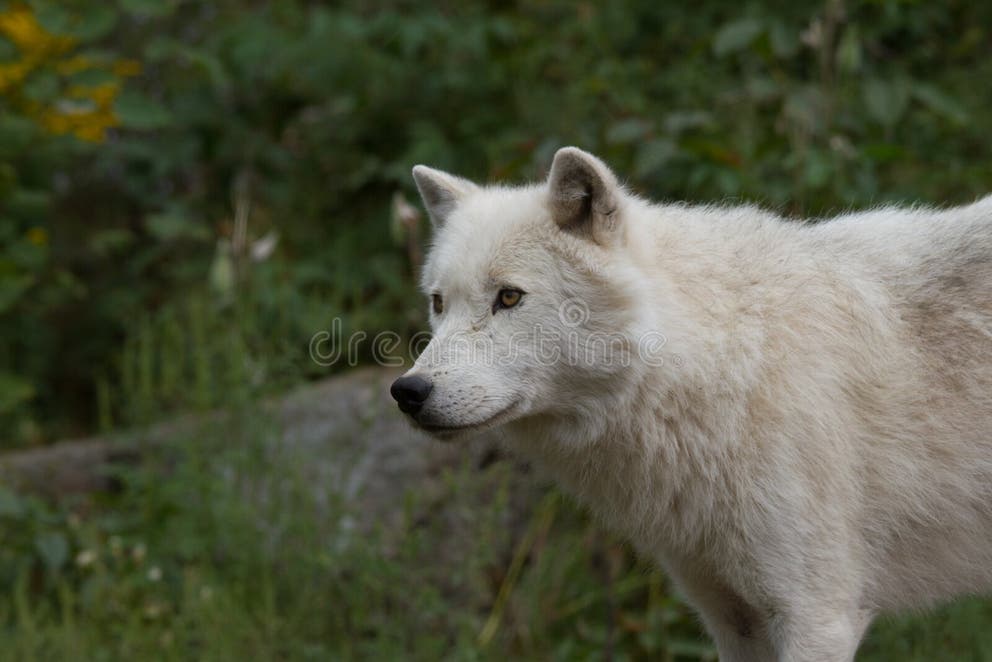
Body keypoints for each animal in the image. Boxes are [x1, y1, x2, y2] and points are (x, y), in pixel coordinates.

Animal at [390, 147, 992, 661]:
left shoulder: (817, 616)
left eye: (509, 297)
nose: (408, 392)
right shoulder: (733, 617)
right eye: (438, 303)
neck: (724, 368)